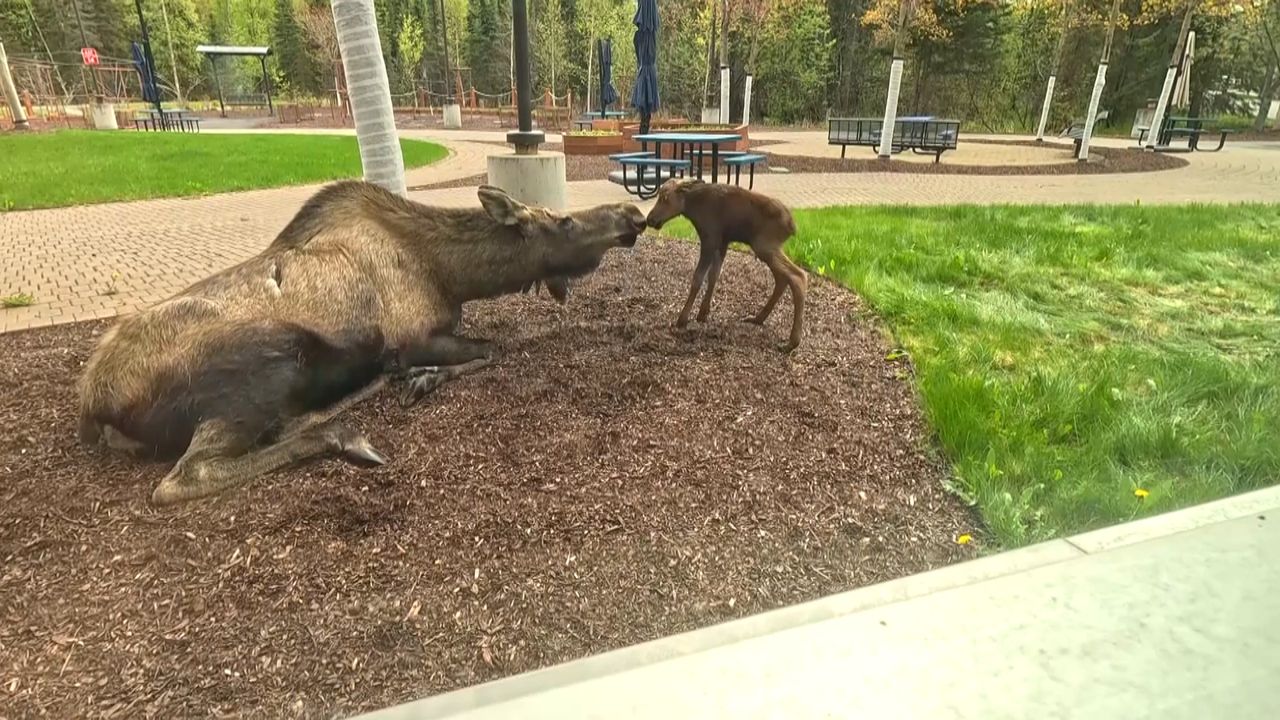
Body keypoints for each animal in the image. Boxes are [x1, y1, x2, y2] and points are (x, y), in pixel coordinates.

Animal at [77, 181, 647, 506]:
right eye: (564, 220)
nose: (632, 215)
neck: (452, 275)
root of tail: (94, 404)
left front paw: (415, 380)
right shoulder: (414, 335)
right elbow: (492, 349)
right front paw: (419, 379)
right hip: (265, 363)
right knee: (181, 478)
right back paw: (344, 434)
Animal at [644, 178, 806, 352]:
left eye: (665, 198)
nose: (650, 219)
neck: (692, 208)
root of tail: (792, 227)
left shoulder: (710, 239)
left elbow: (698, 278)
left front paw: (683, 319)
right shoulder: (723, 241)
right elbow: (714, 275)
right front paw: (703, 313)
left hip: (764, 245)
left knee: (798, 276)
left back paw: (792, 342)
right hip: (768, 248)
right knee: (782, 278)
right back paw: (758, 319)